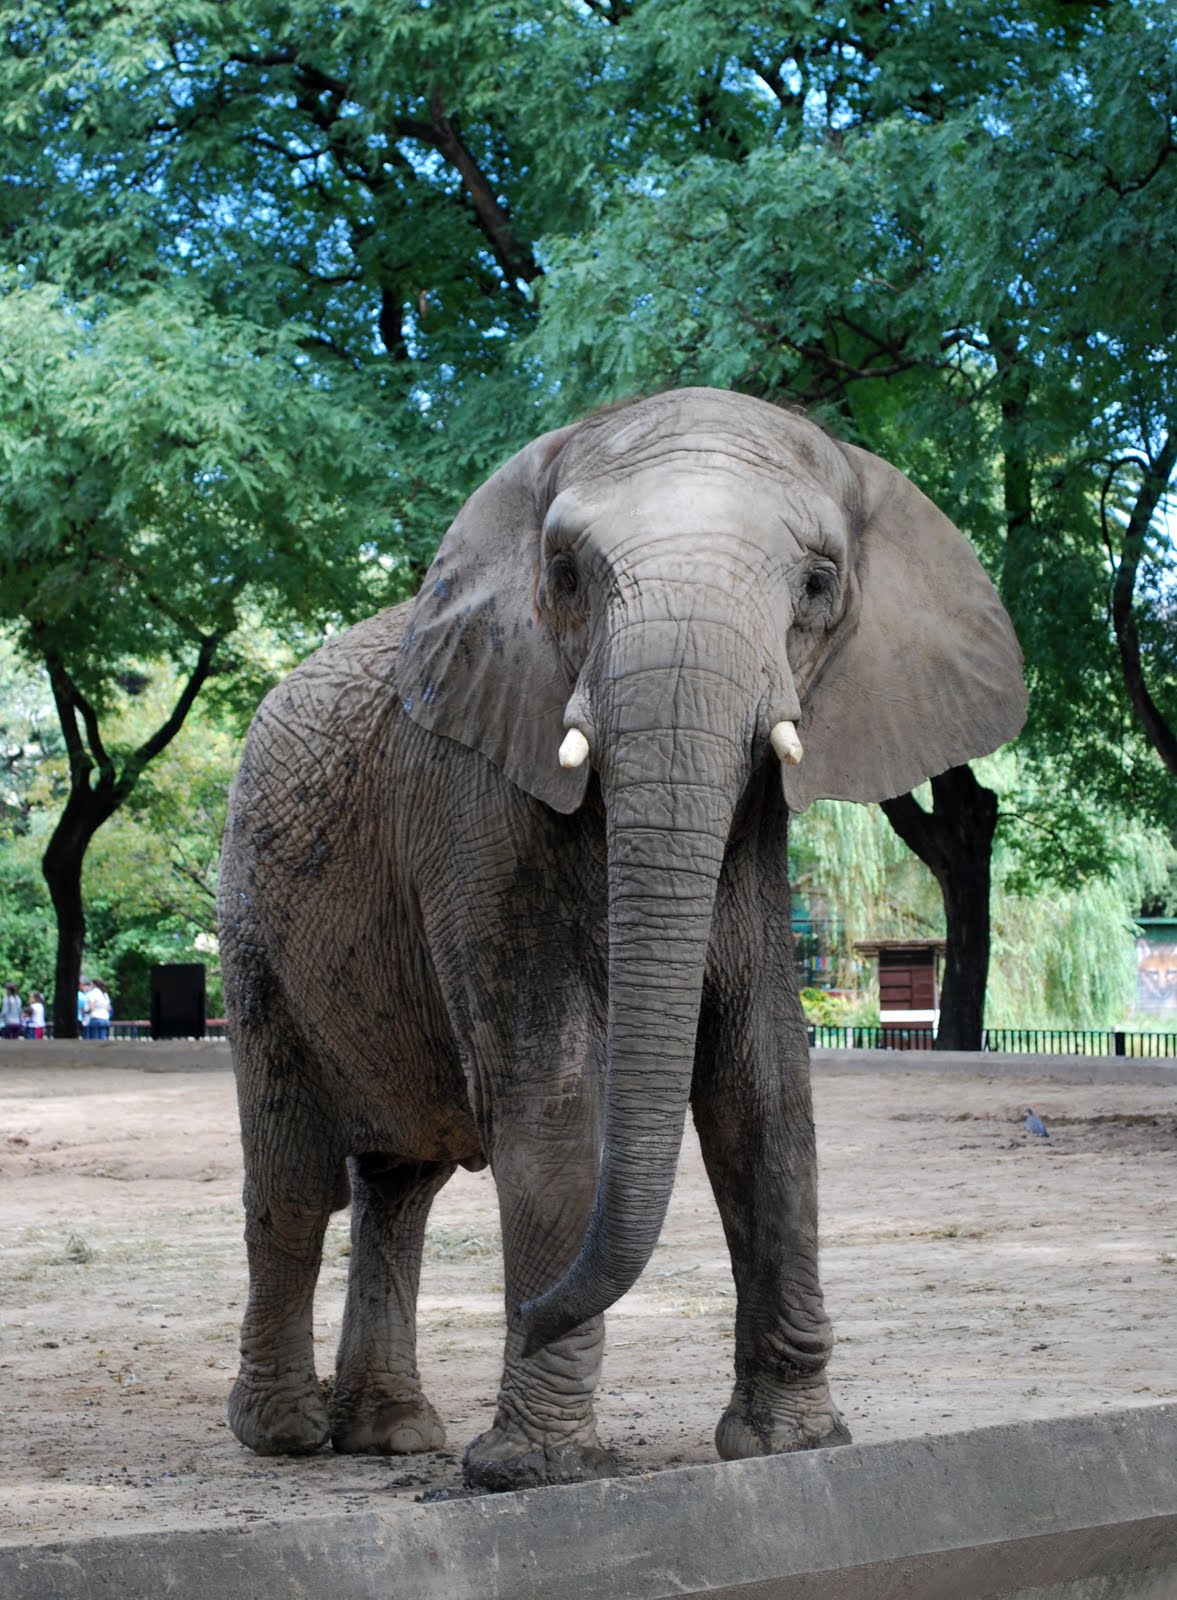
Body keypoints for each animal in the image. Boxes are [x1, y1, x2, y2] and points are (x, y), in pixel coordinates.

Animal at [218, 386, 1026, 1491]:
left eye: (818, 583)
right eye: (563, 576)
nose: (523, 1309)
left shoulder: (751, 848)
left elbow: (764, 1085)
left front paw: (792, 1443)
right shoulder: (471, 806)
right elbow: (551, 1090)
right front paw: (537, 1469)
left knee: (396, 1188)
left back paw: (391, 1435)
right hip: (253, 922)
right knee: (295, 1187)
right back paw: (286, 1435)